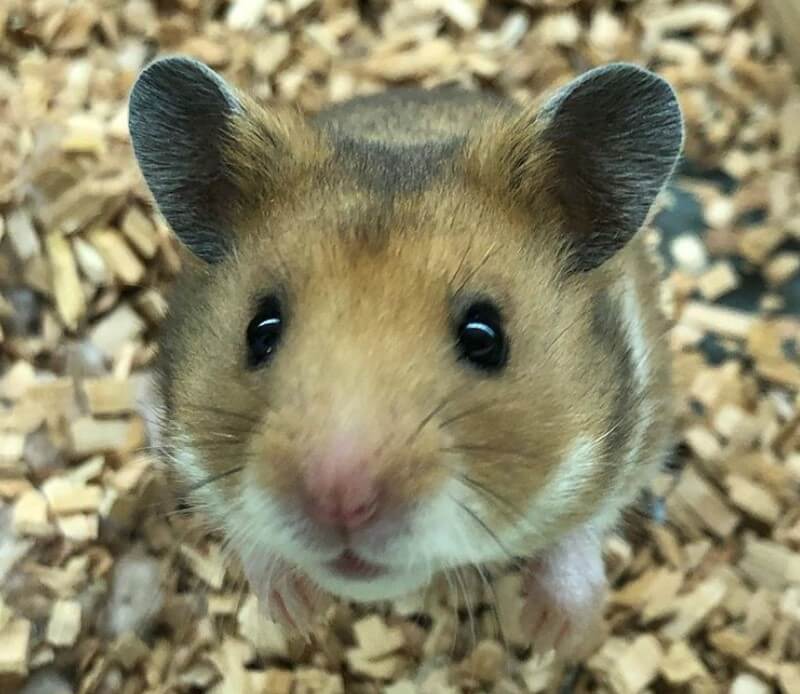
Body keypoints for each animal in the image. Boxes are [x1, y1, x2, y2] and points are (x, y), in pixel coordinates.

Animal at [129, 57, 683, 657]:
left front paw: (553, 636)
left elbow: (584, 526)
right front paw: (298, 614)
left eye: (485, 337)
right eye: (261, 329)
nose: (340, 499)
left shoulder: (639, 433)